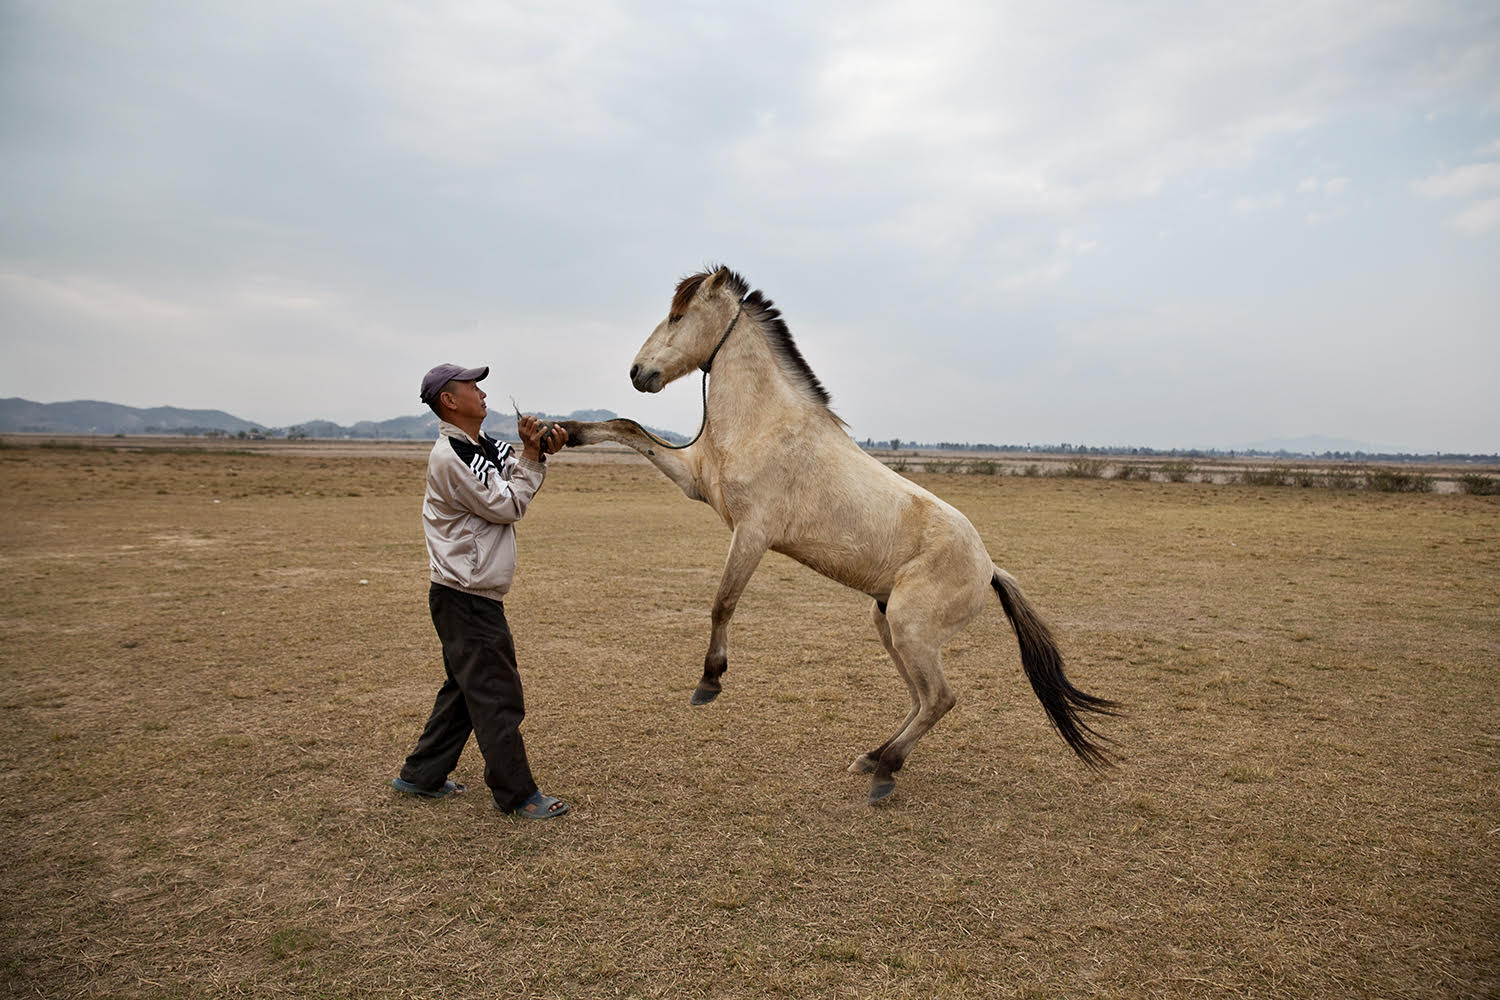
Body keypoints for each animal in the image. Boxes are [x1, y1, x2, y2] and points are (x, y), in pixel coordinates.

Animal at [557, 265, 1117, 803]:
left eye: (677, 316)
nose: (638, 373)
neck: (764, 424)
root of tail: (989, 568)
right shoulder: (697, 484)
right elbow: (627, 427)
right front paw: (567, 432)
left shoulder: (752, 533)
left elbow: (722, 603)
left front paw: (709, 682)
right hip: (888, 624)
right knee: (919, 698)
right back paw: (874, 757)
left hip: (911, 629)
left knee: (940, 698)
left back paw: (885, 772)